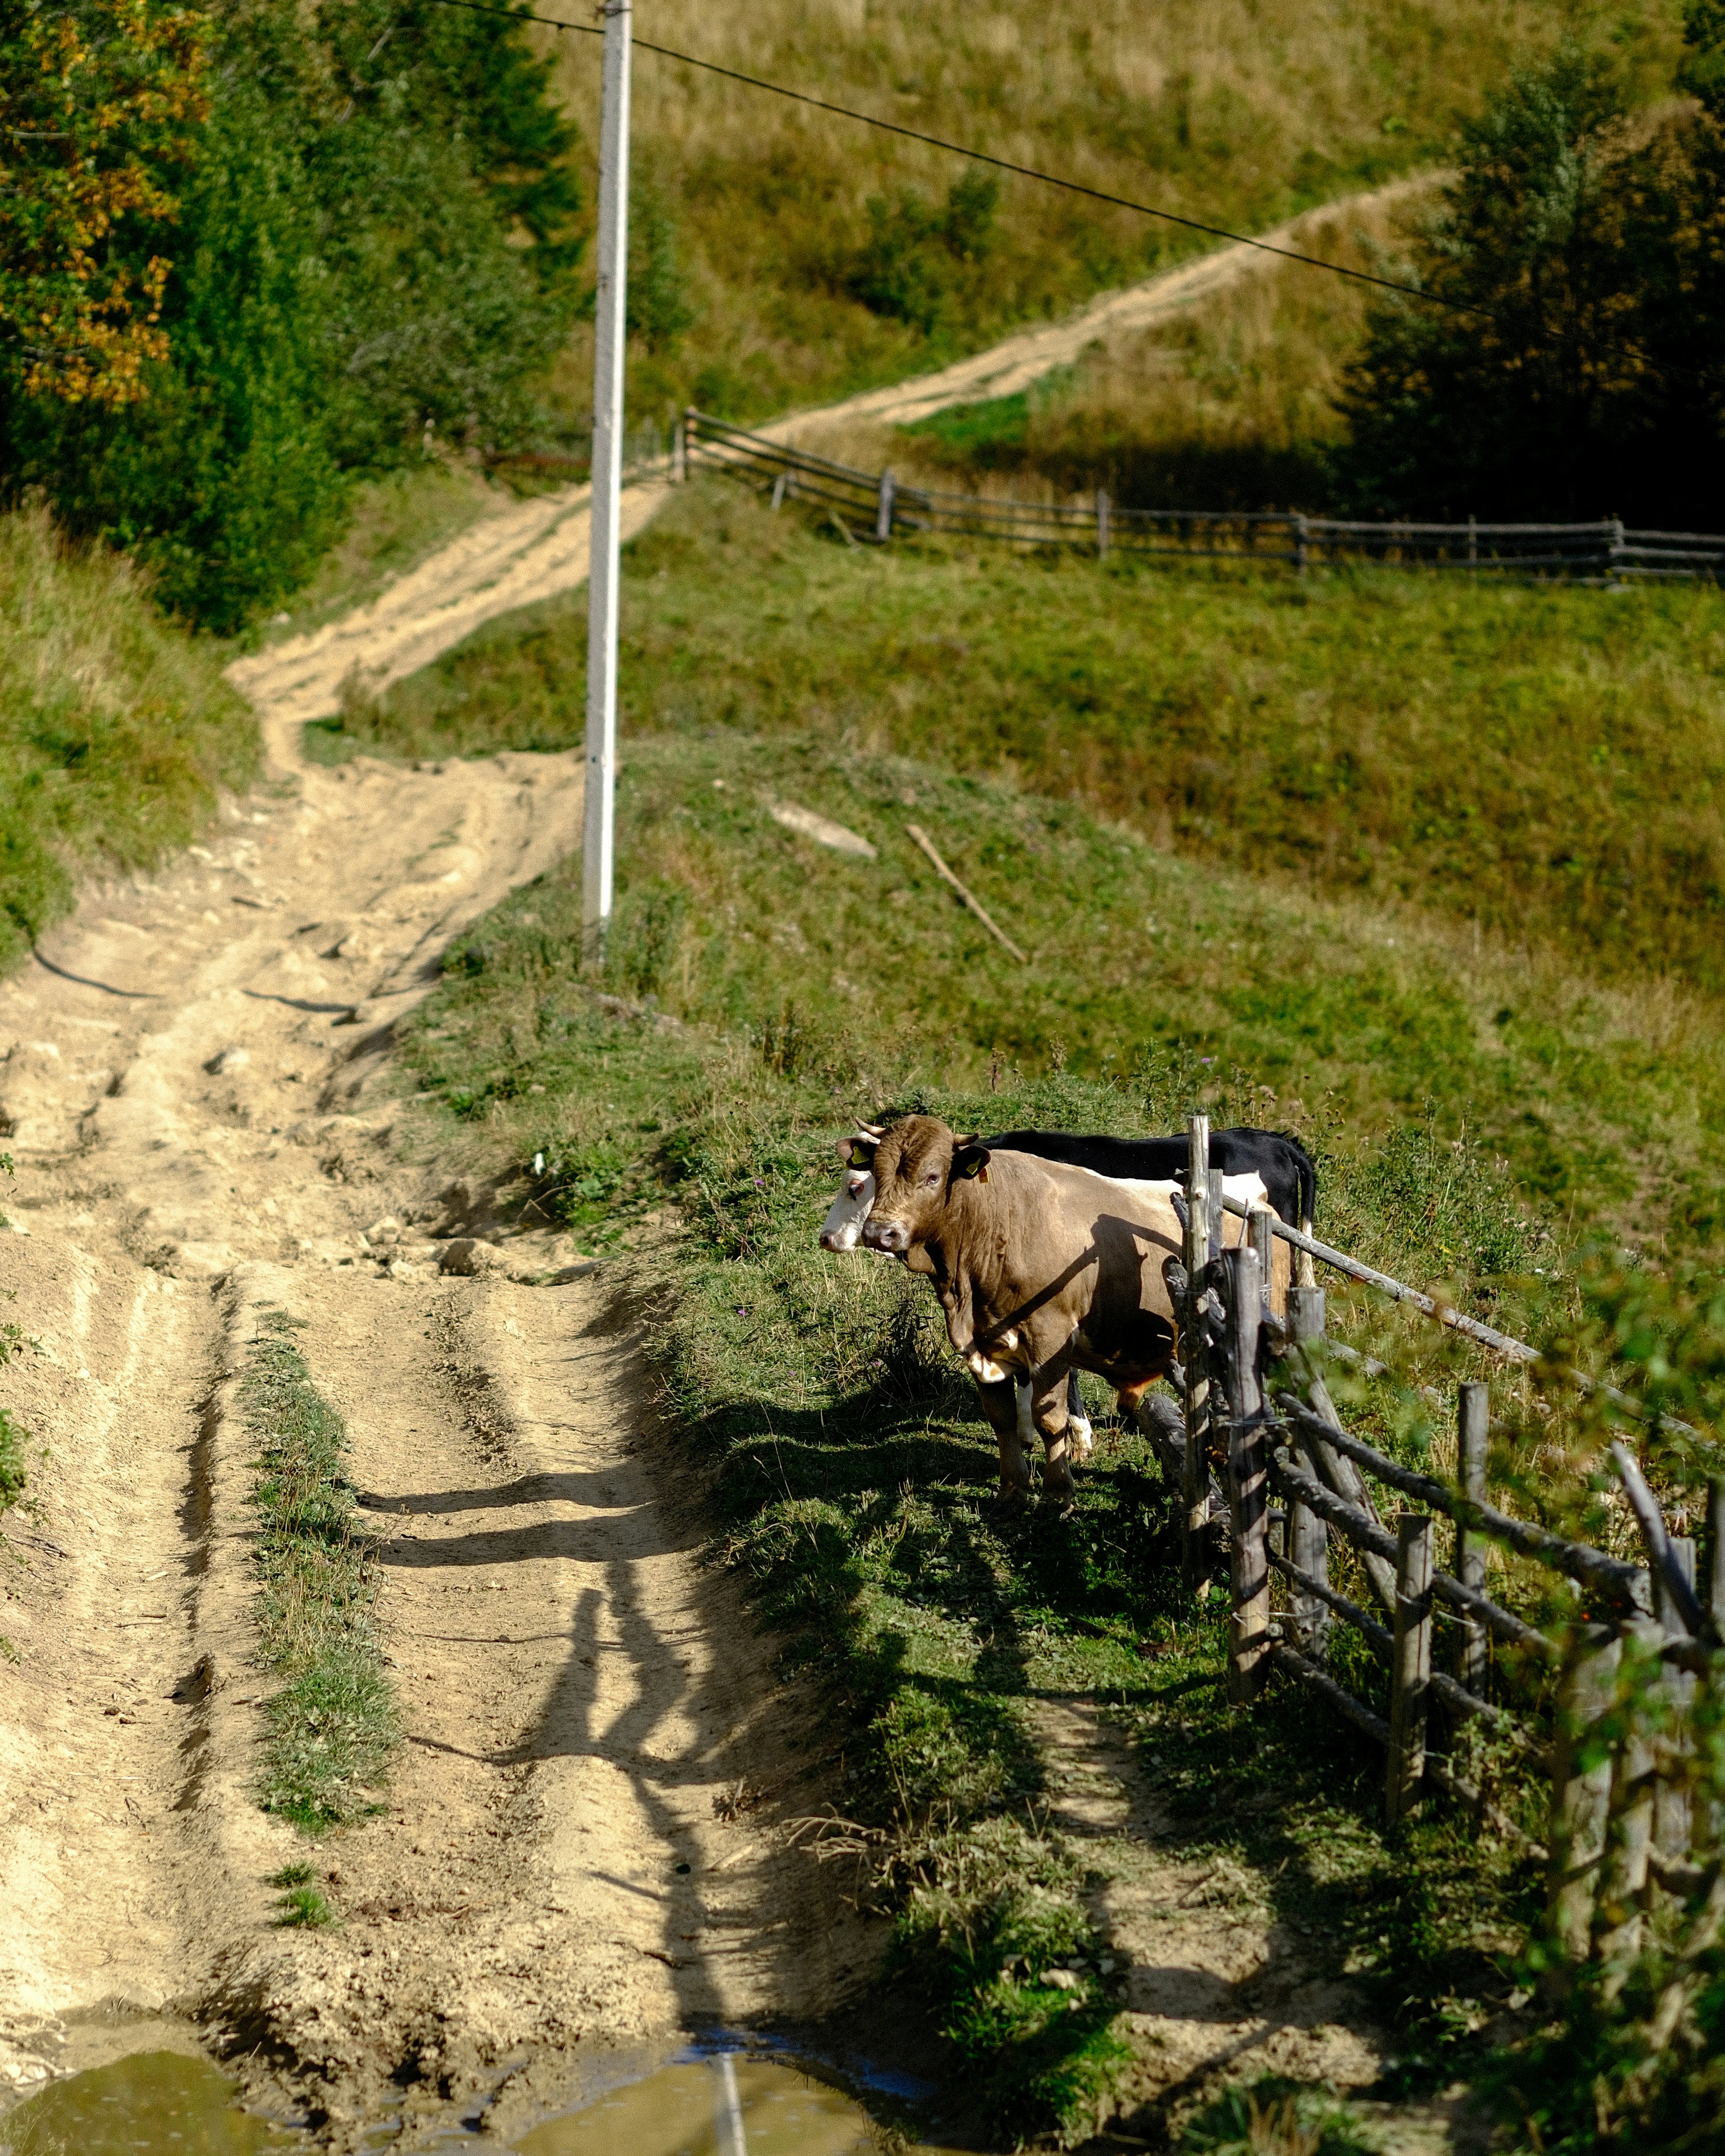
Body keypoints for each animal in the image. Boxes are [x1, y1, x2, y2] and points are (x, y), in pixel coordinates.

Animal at [849, 1114, 1282, 1507]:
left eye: (933, 1177)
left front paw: (1058, 1493)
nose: (879, 1232)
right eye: (876, 1173)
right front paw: (1012, 1490)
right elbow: (1001, 1418)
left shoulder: (1049, 1337)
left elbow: (1048, 1418)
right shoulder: (979, 1344)